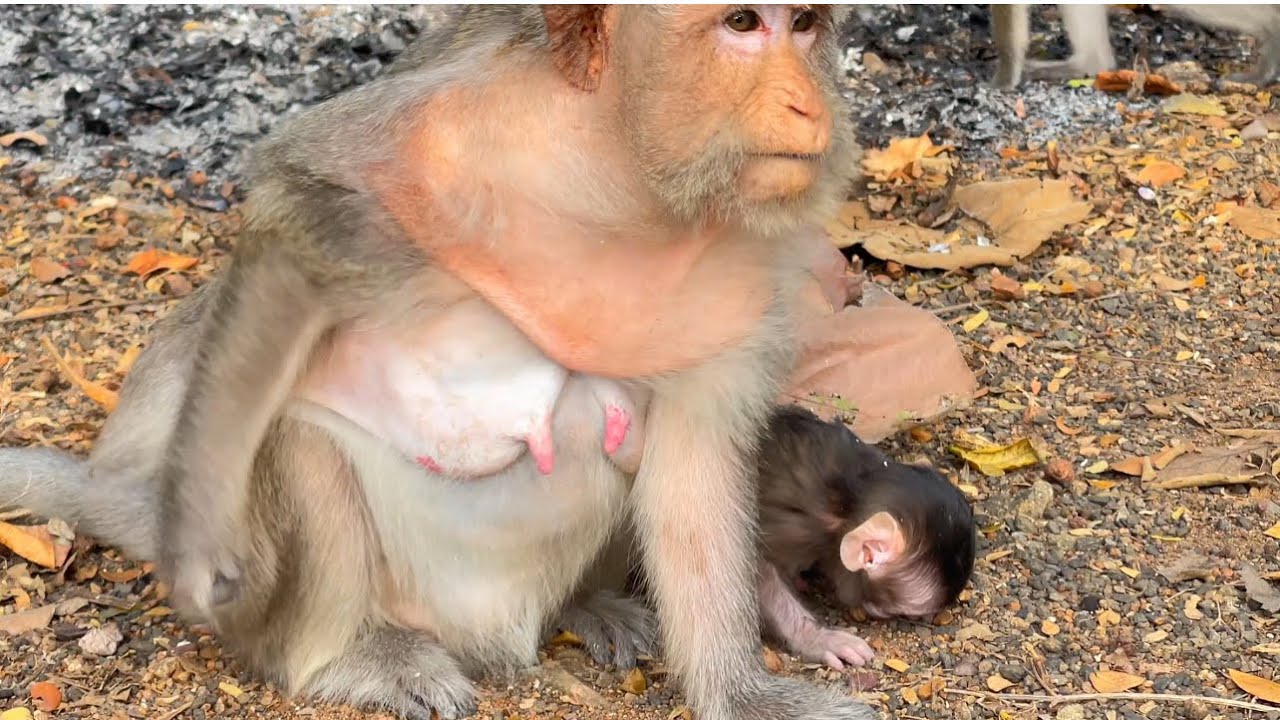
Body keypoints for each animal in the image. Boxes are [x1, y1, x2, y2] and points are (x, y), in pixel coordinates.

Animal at [1, 6, 872, 720]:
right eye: (742, 23)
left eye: (803, 25)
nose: (810, 104)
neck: (620, 185)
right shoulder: (435, 135)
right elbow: (299, 225)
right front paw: (199, 543)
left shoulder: (741, 260)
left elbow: (696, 457)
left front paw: (746, 696)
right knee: (297, 437)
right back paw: (344, 658)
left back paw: (582, 606)